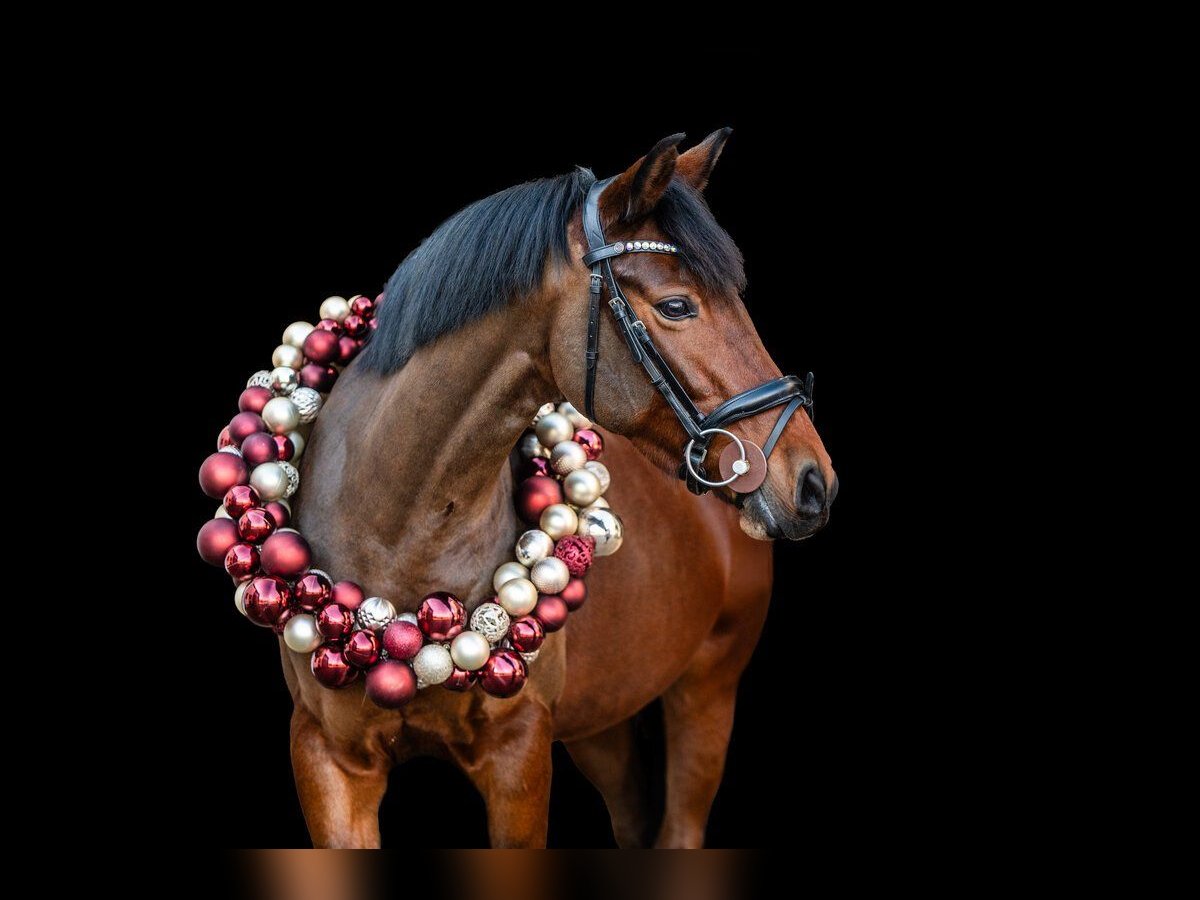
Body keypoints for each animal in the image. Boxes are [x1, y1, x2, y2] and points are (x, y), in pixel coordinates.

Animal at [289, 130, 836, 848]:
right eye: (677, 305)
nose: (812, 480)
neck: (395, 529)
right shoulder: (328, 758)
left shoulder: (519, 754)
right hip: (605, 724)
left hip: (708, 690)